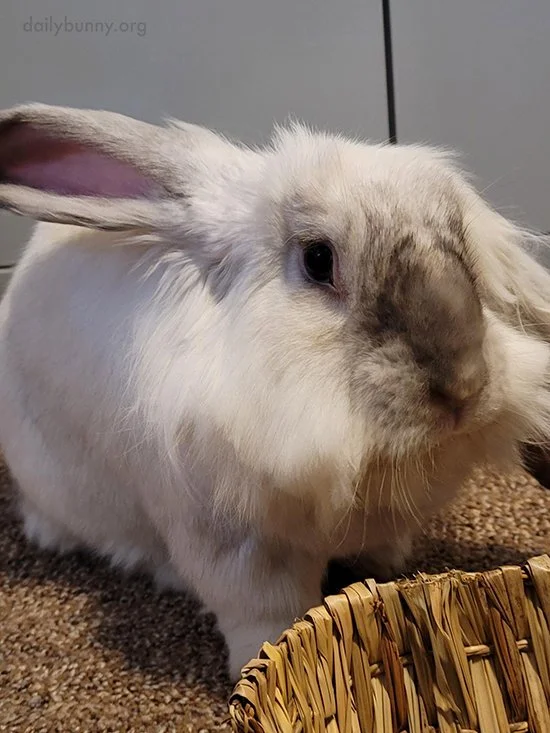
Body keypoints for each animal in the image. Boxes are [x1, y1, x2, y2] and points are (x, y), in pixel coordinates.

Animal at [0, 102, 550, 679]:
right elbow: (264, 618)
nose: (464, 388)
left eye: (463, 247)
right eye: (317, 260)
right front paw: (260, 664)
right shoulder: (238, 554)